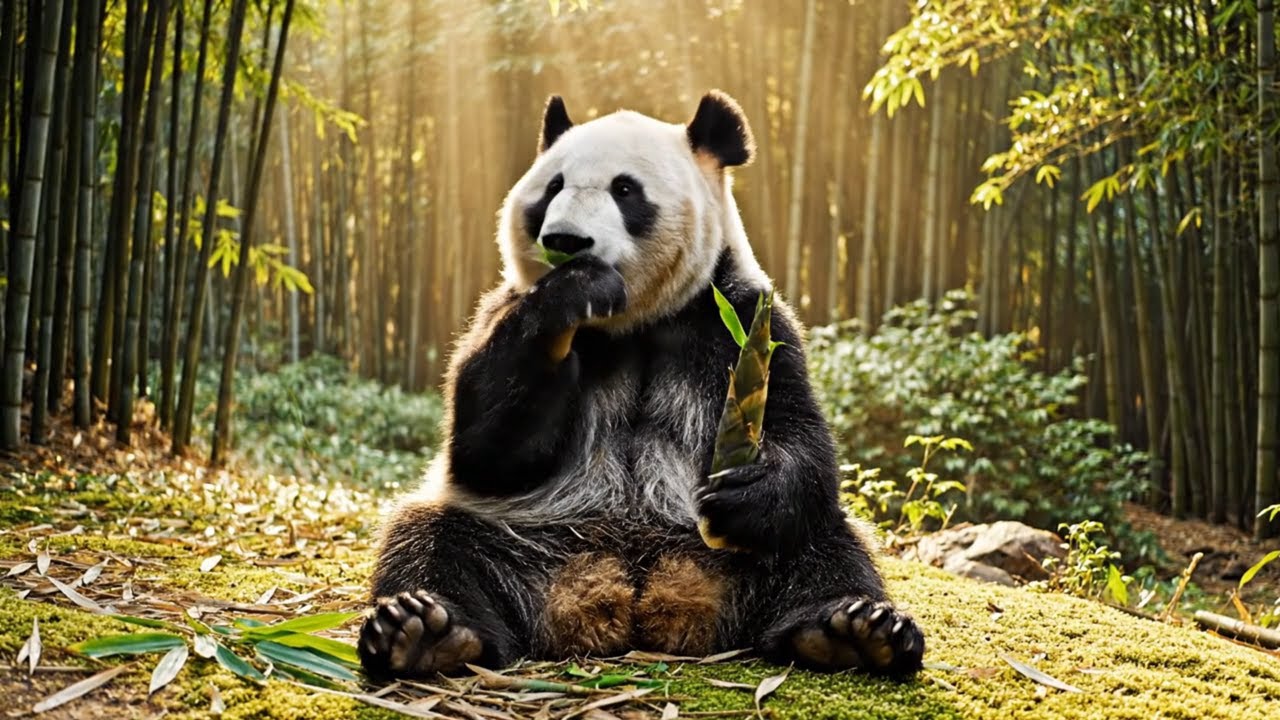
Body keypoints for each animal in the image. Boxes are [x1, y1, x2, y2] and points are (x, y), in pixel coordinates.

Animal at [358, 91, 925, 680]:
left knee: (827, 545)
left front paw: (742, 488)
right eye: (553, 187)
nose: (565, 240)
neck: (631, 322)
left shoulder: (746, 325)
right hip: (525, 532)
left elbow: (799, 435)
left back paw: (853, 630)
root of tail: (634, 592)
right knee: (430, 536)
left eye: (625, 190)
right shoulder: (505, 309)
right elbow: (487, 449)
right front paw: (575, 288)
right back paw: (426, 631)